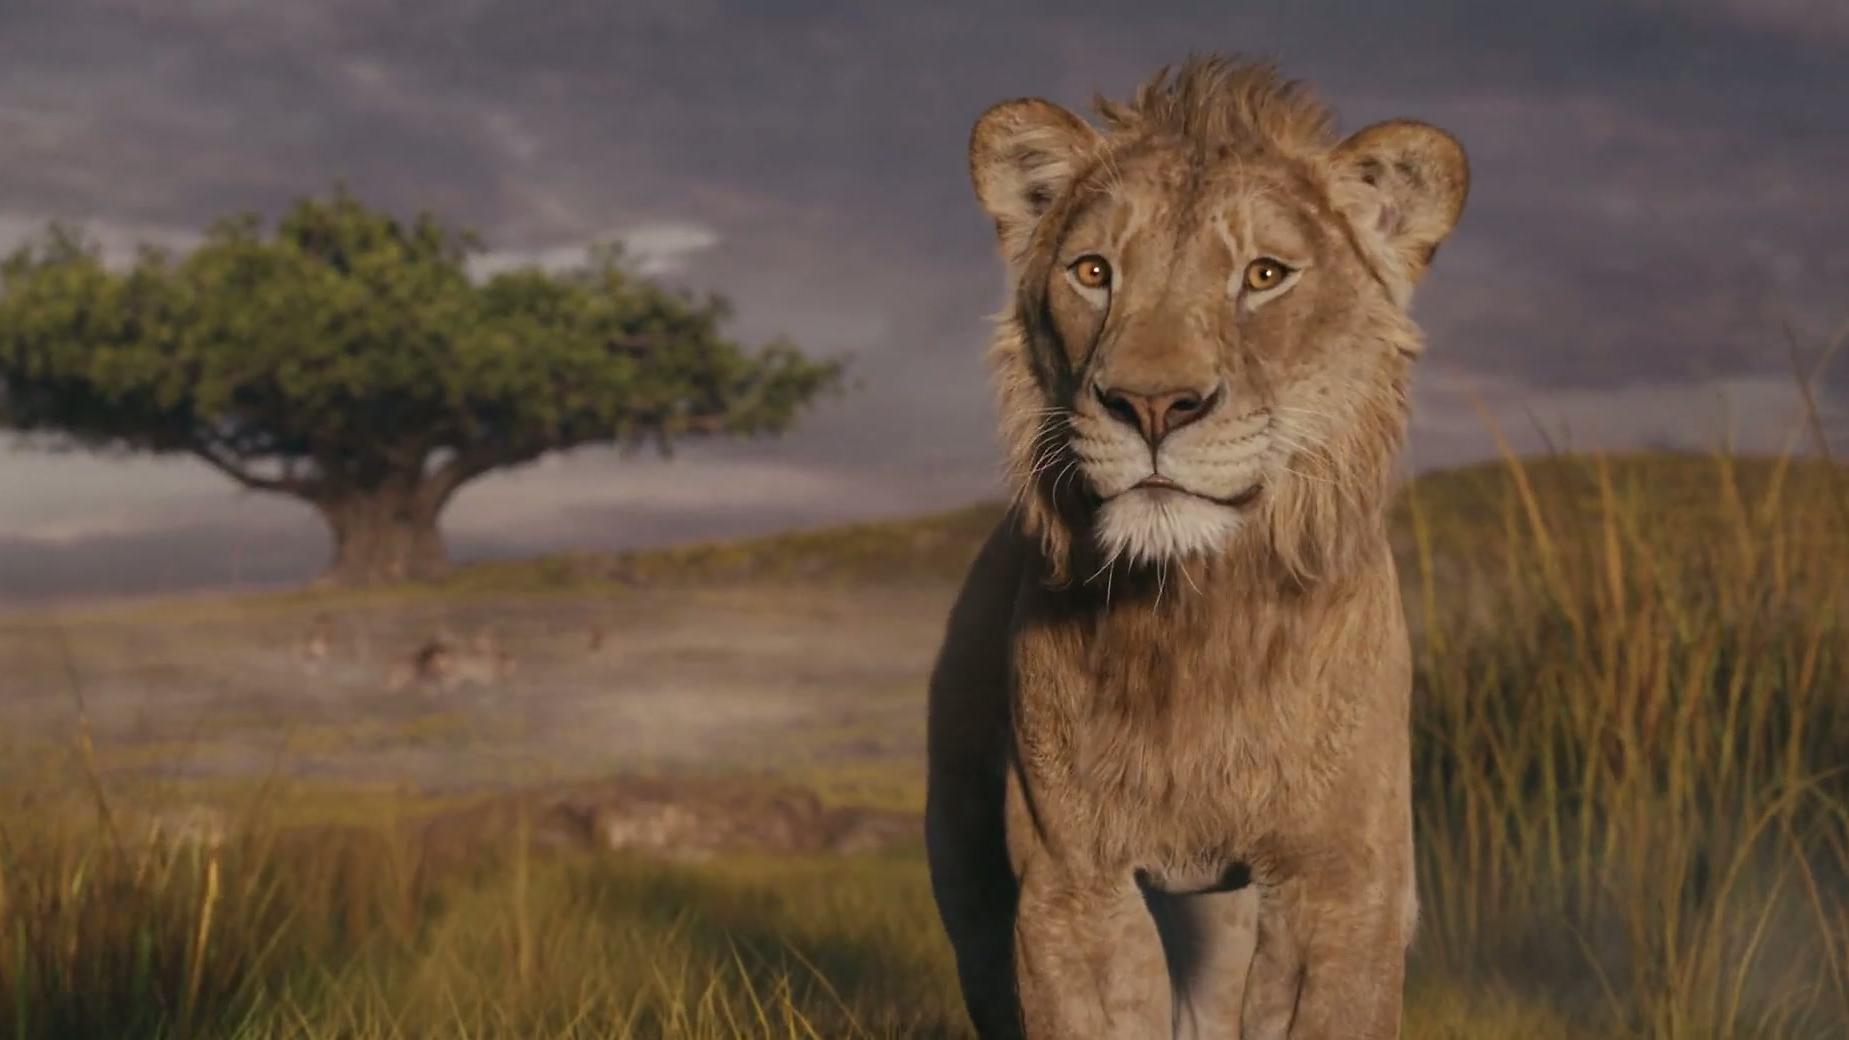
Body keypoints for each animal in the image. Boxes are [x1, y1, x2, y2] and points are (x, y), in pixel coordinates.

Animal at [925, 56, 1468, 1039]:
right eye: (1093, 271)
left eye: (1264, 274)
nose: (1149, 404)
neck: (1194, 618)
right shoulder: (1070, 883)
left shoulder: (1341, 884)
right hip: (971, 874)